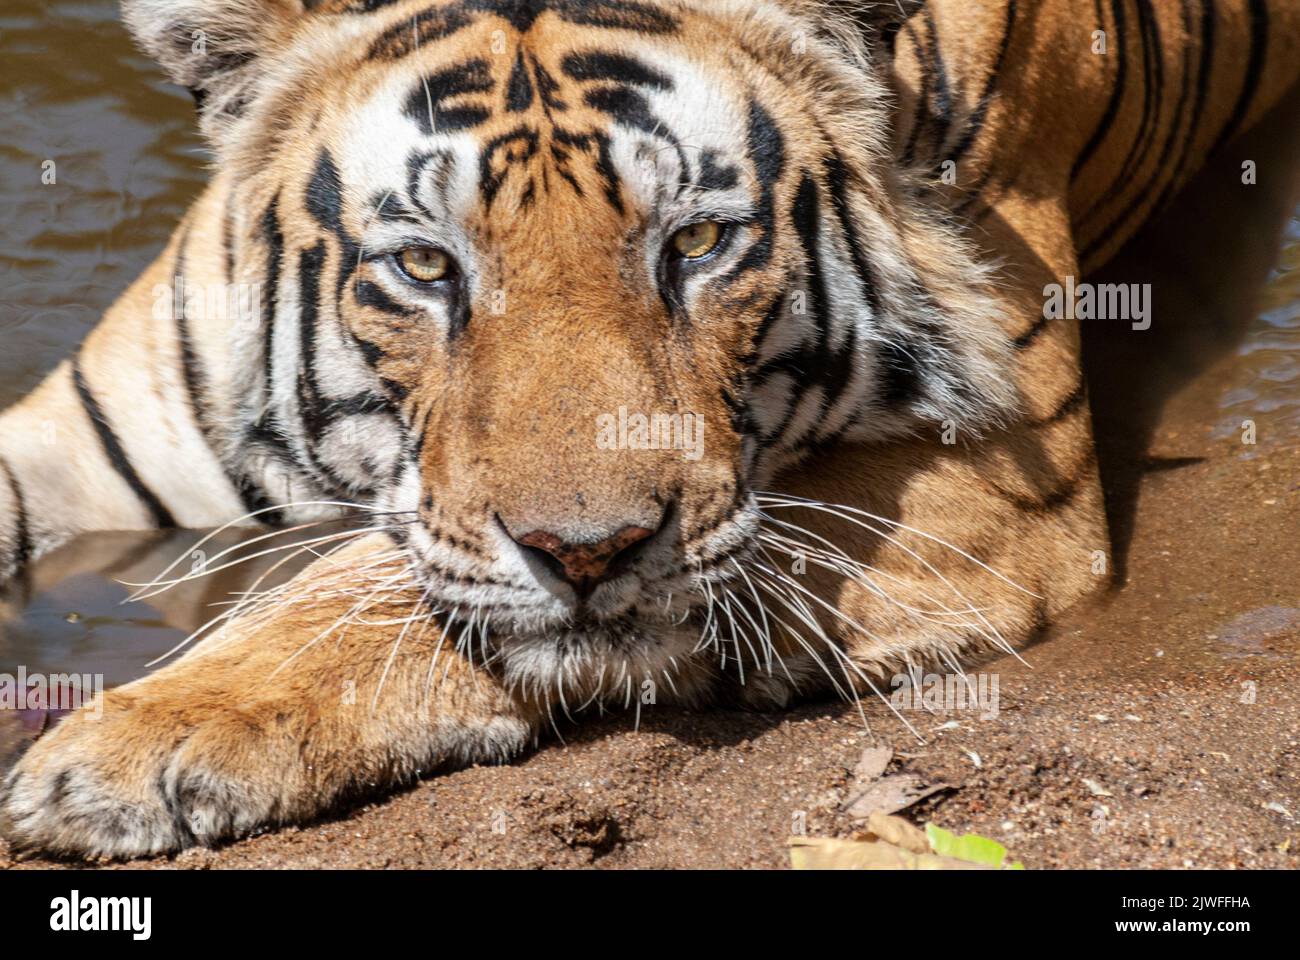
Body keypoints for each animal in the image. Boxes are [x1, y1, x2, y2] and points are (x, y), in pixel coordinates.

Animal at [1, 0, 1297, 860]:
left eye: (697, 243)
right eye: (425, 265)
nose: (588, 554)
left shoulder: (1003, 467)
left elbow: (372, 585)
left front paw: (142, 741)